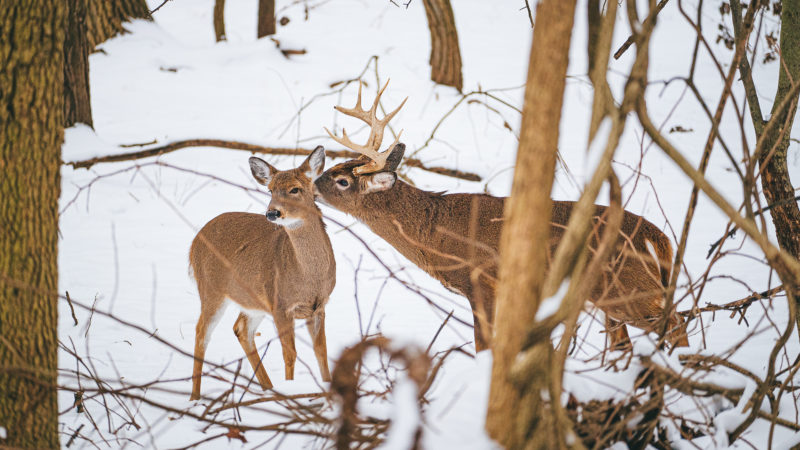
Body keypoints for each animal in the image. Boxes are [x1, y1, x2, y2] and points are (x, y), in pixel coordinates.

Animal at [188, 146, 336, 401]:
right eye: (270, 189)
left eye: (295, 189)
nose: (272, 213)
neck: (310, 278)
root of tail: (195, 241)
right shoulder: (280, 305)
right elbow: (290, 354)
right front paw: (291, 389)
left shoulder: (319, 306)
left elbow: (321, 352)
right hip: (211, 289)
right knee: (201, 334)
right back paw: (194, 399)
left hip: (252, 300)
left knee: (241, 329)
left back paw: (269, 389)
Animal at [315, 81, 689, 352]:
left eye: (342, 180)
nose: (313, 184)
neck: (436, 234)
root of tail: (659, 239)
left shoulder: (482, 280)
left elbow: (484, 345)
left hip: (627, 289)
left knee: (676, 324)